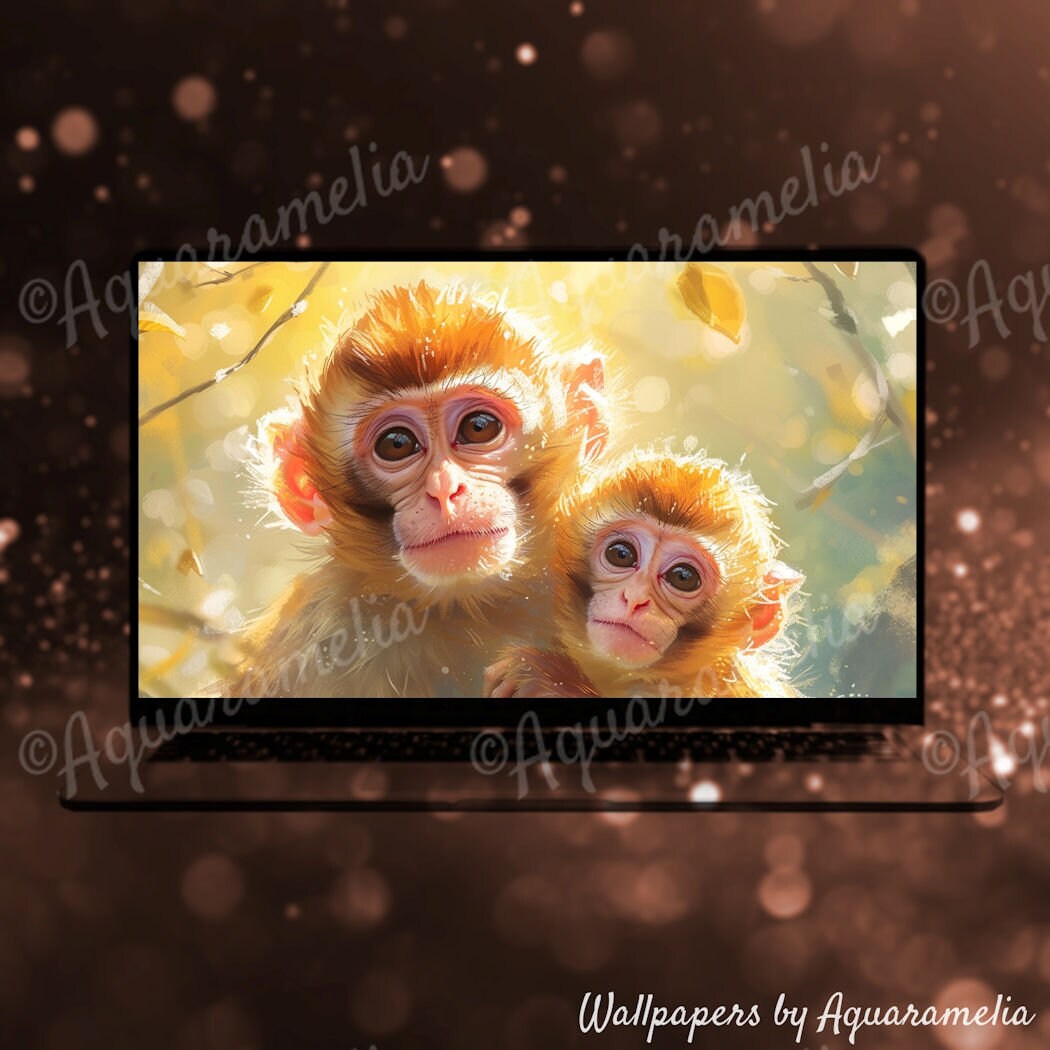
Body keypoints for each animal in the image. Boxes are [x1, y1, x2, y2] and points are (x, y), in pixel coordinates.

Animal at [219, 281, 611, 698]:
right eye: (397, 444)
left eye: (479, 427)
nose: (444, 489)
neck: (470, 608)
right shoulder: (317, 645)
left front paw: (541, 678)